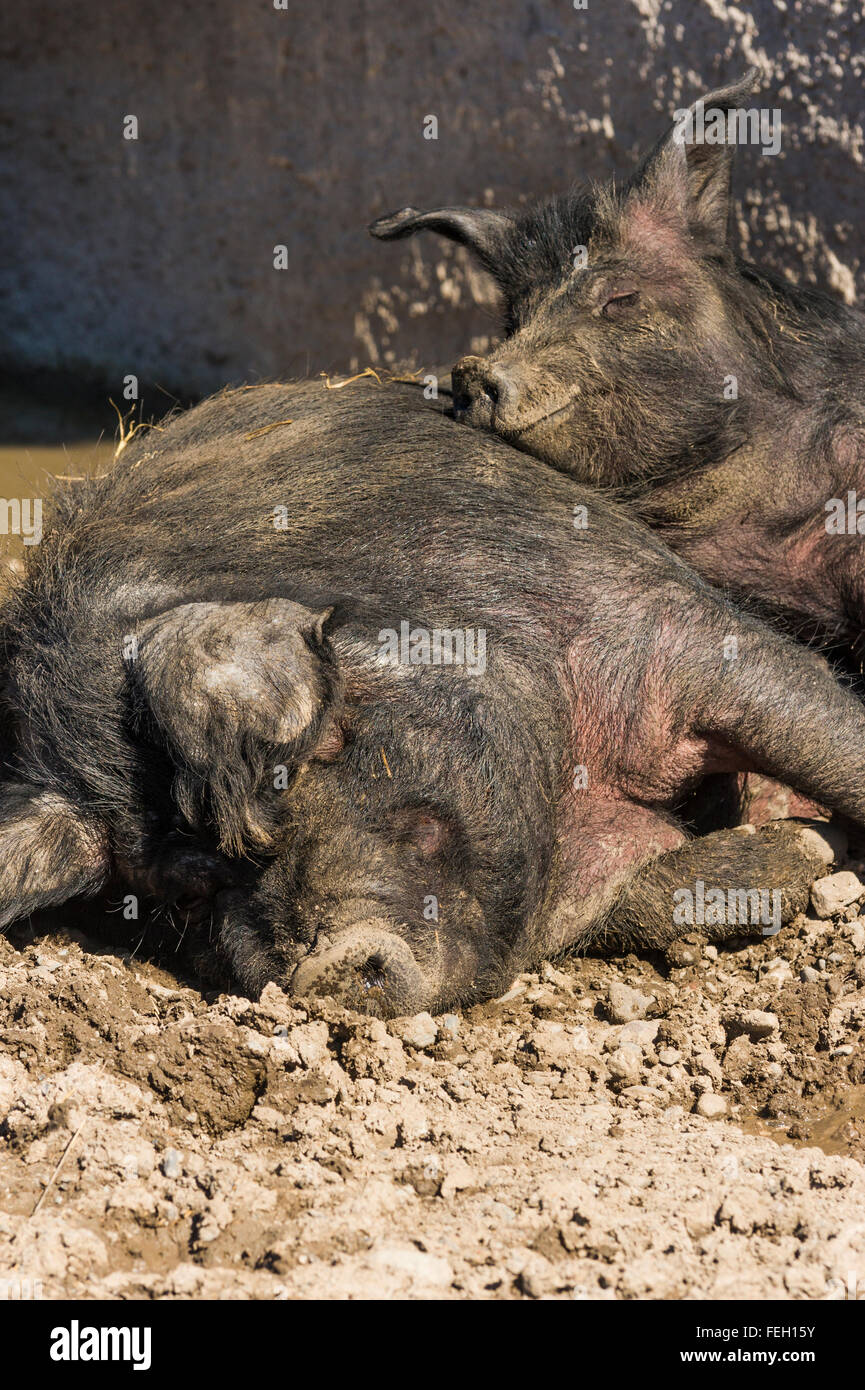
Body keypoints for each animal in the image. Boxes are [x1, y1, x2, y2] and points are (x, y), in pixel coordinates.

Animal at [2, 378, 864, 1017]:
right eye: (187, 893)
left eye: (314, 761)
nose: (324, 971)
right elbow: (653, 895)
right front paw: (803, 848)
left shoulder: (660, 634)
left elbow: (813, 726)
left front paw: (817, 841)